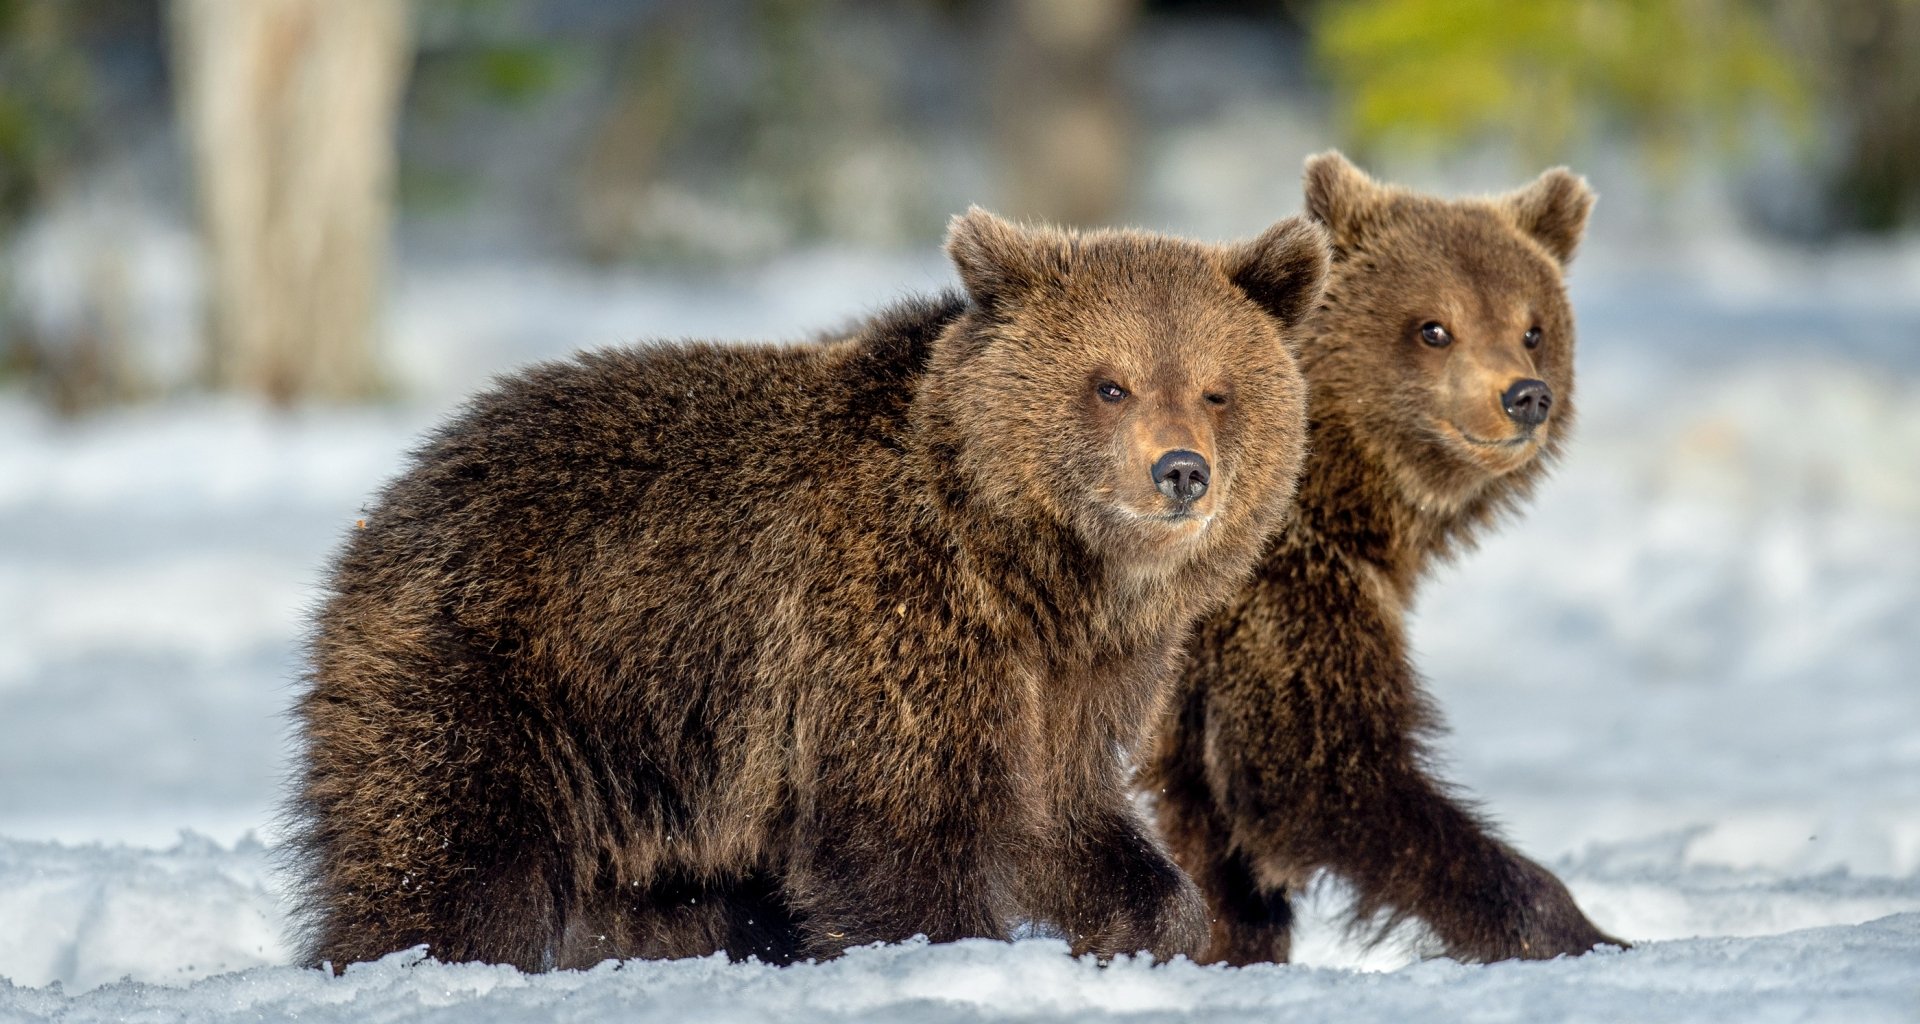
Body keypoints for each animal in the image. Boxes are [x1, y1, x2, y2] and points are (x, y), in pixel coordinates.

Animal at [288, 206, 1331, 971]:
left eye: (1217, 389)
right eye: (1110, 384)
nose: (1181, 472)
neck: (1033, 569)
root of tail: (397, 490)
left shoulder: (1077, 679)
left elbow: (1064, 814)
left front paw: (1151, 928)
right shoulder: (889, 627)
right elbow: (900, 835)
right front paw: (947, 946)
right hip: (513, 675)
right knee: (446, 849)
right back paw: (413, 958)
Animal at [1144, 152, 1625, 965]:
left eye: (1533, 328)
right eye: (1434, 326)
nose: (1526, 397)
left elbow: (1215, 829)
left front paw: (1231, 940)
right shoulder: (1277, 595)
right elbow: (1325, 770)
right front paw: (1586, 931)